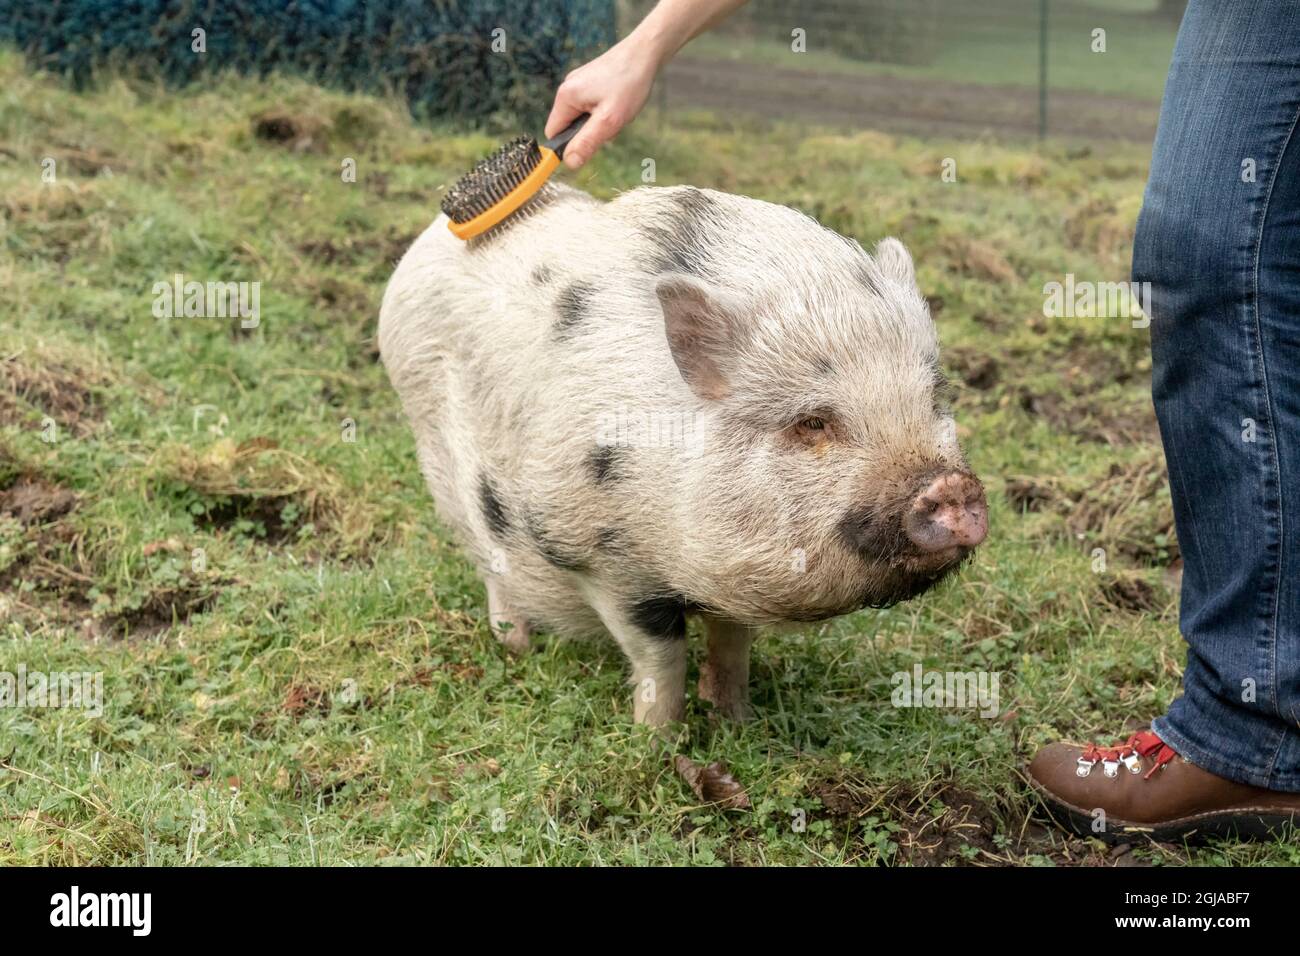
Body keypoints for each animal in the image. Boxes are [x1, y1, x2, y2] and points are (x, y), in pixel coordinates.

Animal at [378, 183, 987, 726]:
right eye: (812, 423)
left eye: (934, 397)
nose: (950, 486)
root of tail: (431, 236)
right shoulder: (606, 562)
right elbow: (659, 655)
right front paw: (657, 742)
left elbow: (733, 644)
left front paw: (736, 722)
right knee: (492, 567)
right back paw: (516, 649)